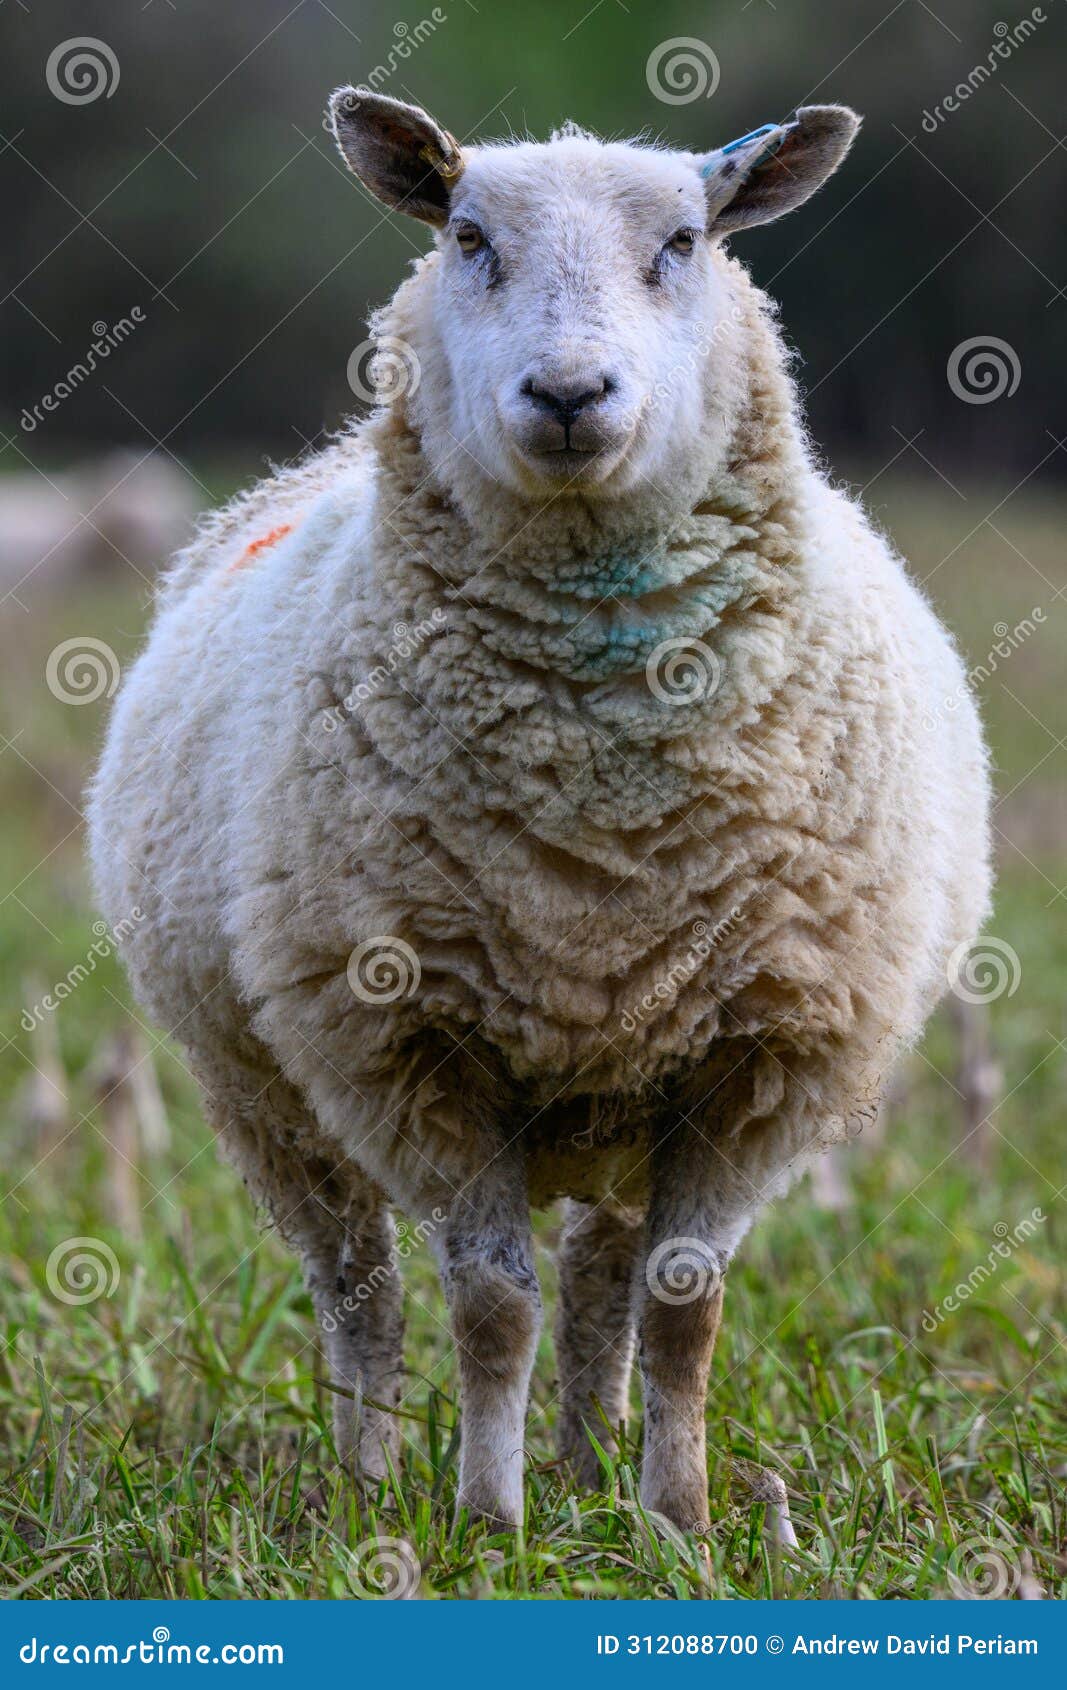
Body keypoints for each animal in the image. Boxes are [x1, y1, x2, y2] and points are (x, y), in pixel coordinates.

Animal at [88, 89, 992, 1533]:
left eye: (683, 241)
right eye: (466, 236)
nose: (568, 395)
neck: (599, 814)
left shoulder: (756, 1052)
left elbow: (680, 1309)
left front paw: (679, 1522)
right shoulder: (410, 1042)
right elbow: (486, 1305)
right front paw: (486, 1522)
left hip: (631, 1067)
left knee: (602, 1280)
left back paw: (591, 1456)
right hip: (261, 1086)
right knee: (357, 1287)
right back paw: (373, 1478)